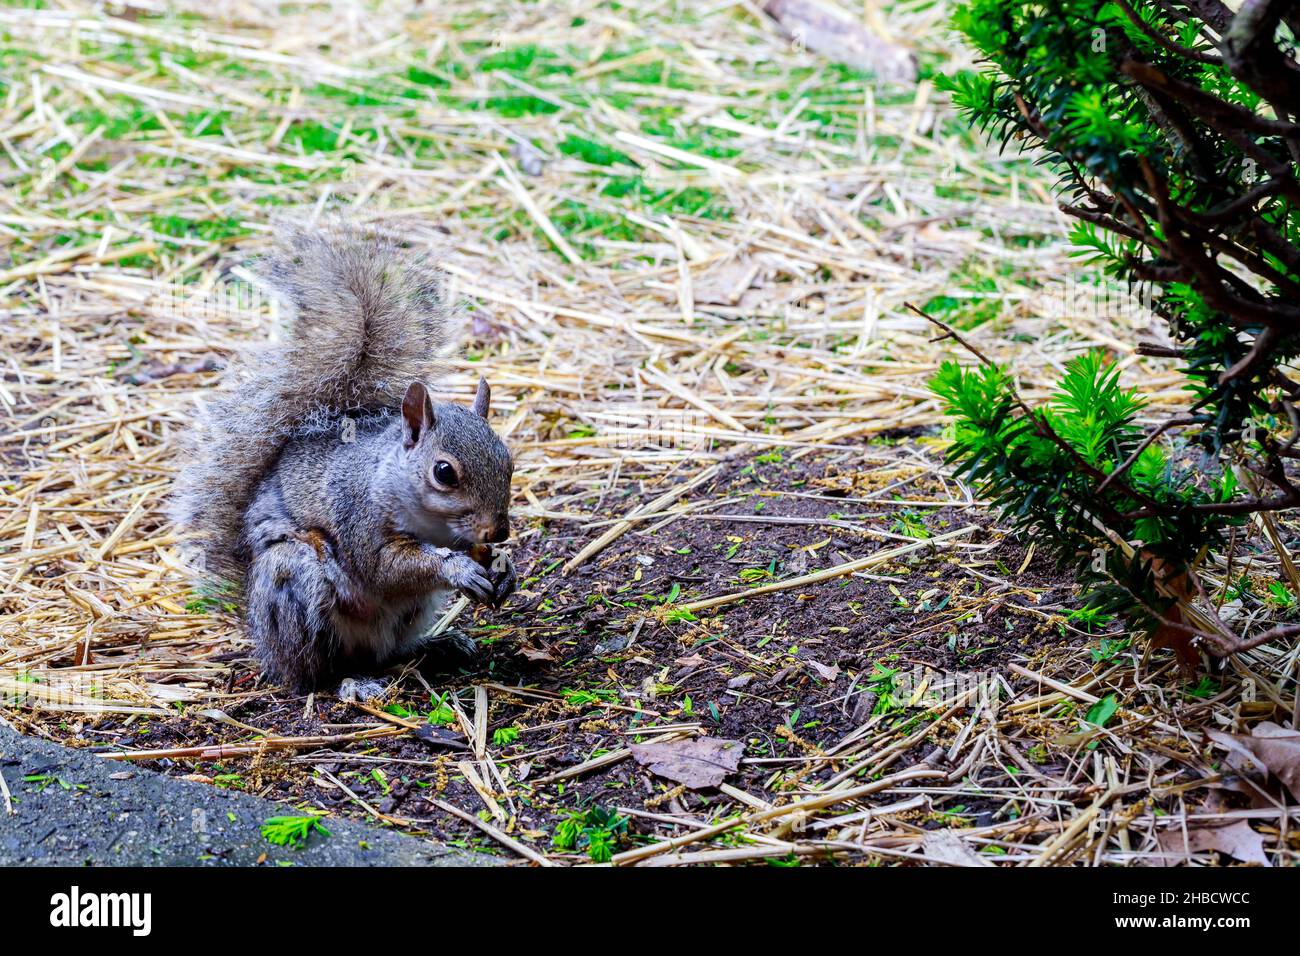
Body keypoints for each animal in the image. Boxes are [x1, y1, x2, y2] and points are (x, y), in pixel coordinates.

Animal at [170, 221, 516, 698]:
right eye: (443, 472)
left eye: (509, 461)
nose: (499, 530)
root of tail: (262, 640)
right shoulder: (358, 518)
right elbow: (386, 567)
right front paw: (459, 568)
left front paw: (502, 567)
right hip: (296, 580)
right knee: (314, 671)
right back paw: (350, 682)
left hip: (409, 615)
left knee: (388, 651)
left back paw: (437, 646)